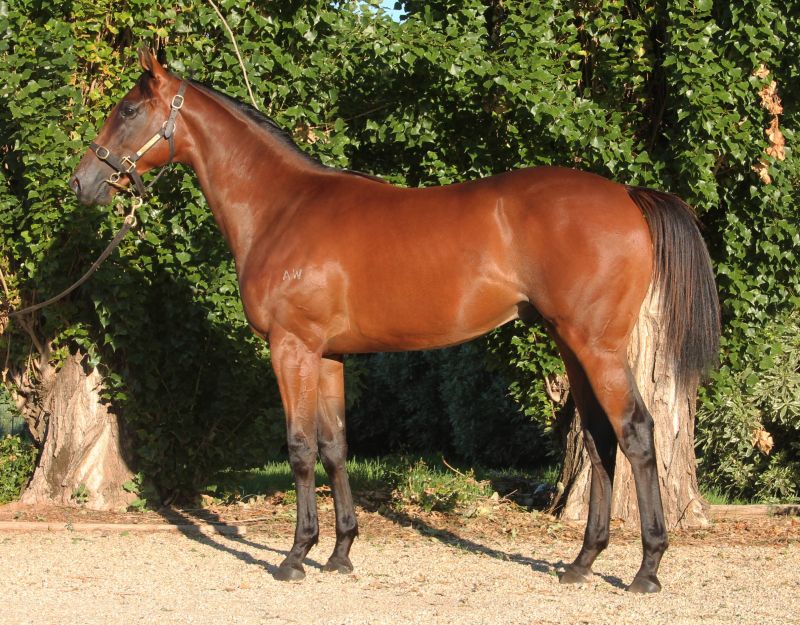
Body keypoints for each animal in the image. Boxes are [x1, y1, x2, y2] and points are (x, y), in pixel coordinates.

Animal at [70, 48, 720, 593]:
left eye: (129, 110)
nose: (83, 182)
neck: (282, 208)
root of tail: (626, 194)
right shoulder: (327, 355)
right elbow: (335, 446)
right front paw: (339, 553)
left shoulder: (291, 347)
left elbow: (300, 448)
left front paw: (295, 557)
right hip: (571, 344)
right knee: (601, 440)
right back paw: (582, 563)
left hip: (597, 346)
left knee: (636, 433)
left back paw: (646, 570)